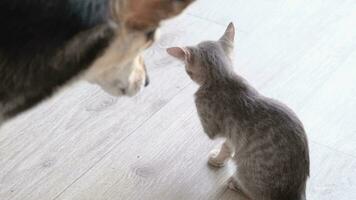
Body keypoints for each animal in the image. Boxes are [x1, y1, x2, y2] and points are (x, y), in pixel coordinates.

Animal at [167, 23, 308, 200]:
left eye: (187, 70)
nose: (186, 71)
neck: (223, 78)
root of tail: (295, 191)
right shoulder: (233, 135)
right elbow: (227, 147)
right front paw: (220, 158)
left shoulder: (212, 129)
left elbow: (219, 139)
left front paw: (216, 158)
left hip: (245, 168)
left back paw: (235, 184)